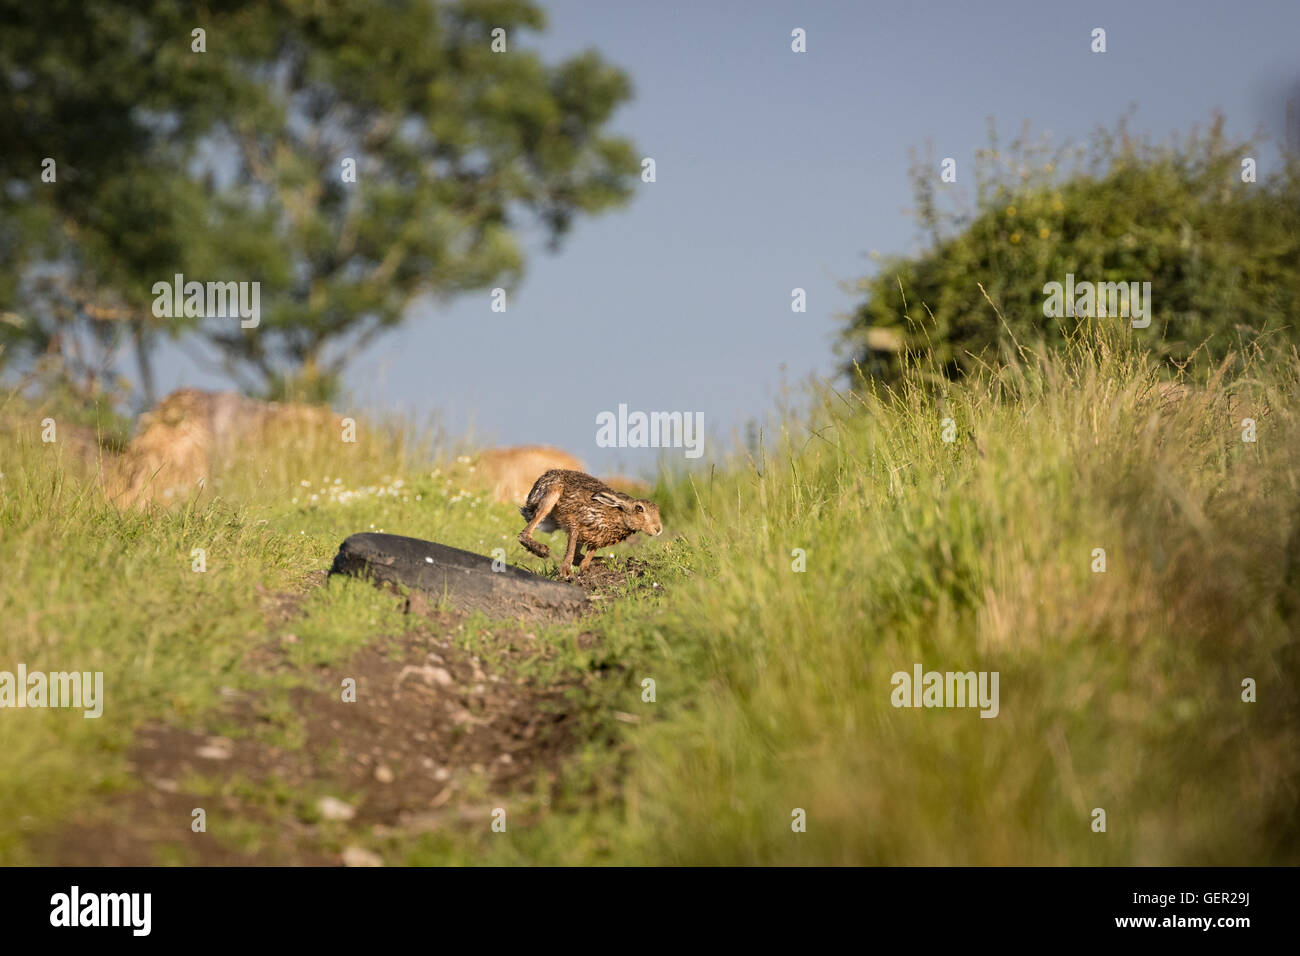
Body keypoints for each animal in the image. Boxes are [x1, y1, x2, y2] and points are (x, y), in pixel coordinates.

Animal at [517, 469, 662, 579]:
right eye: (639, 508)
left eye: (656, 508)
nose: (658, 529)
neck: (618, 514)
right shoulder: (575, 524)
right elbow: (571, 551)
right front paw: (566, 573)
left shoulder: (596, 539)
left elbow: (585, 560)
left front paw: (584, 570)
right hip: (551, 496)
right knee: (524, 533)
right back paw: (543, 551)